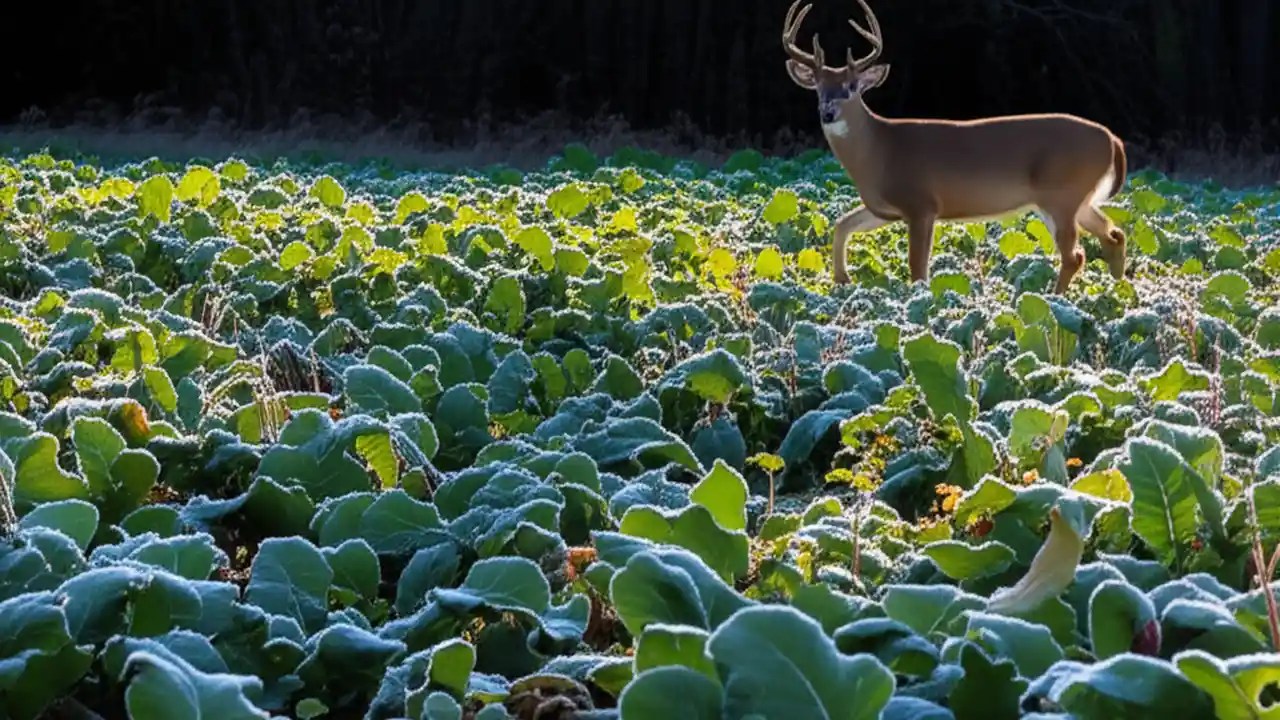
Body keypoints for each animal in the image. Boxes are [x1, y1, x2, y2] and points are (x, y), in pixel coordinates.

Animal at [782, 0, 1128, 294]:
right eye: (818, 88)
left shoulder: (922, 204)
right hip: (1077, 199)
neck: (879, 153)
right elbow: (842, 224)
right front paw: (843, 279)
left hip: (1061, 195)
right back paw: (1118, 288)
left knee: (1075, 254)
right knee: (1114, 234)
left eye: (851, 88)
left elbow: (917, 268)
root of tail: (1113, 139)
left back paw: (1055, 300)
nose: (827, 113)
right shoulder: (885, 208)